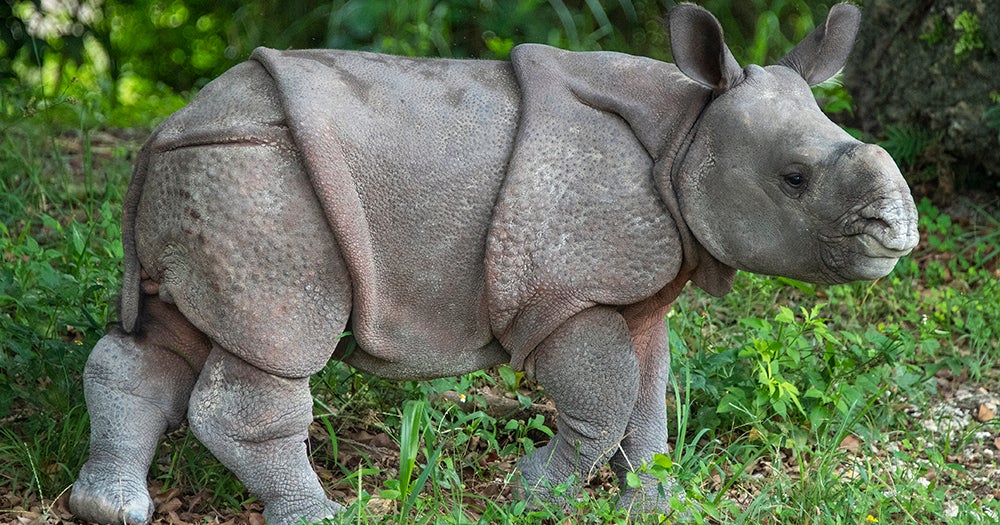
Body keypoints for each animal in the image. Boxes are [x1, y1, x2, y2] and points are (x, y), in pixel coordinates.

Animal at [70, 3, 918, 524]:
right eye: (794, 179)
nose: (898, 231)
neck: (689, 128)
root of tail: (166, 128)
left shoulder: (638, 289)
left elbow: (651, 400)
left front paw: (655, 505)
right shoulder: (565, 289)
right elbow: (608, 397)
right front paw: (533, 492)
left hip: (218, 173)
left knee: (170, 332)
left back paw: (109, 507)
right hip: (263, 178)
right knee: (278, 343)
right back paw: (321, 515)